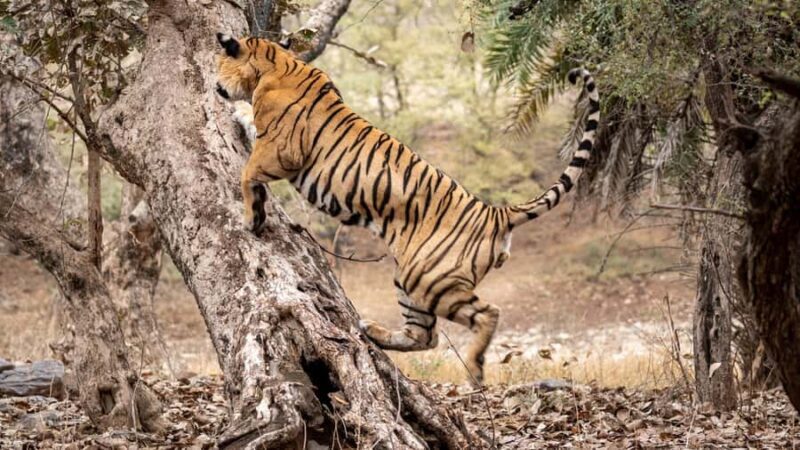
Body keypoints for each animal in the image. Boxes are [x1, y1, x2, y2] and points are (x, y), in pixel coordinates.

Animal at [215, 33, 600, 384]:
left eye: (219, 61)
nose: (216, 85)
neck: (275, 61)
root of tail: (496, 213)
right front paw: (238, 114)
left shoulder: (282, 151)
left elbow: (248, 171)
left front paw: (252, 217)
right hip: (410, 278)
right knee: (424, 336)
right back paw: (373, 331)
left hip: (430, 278)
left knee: (487, 313)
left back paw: (474, 368)